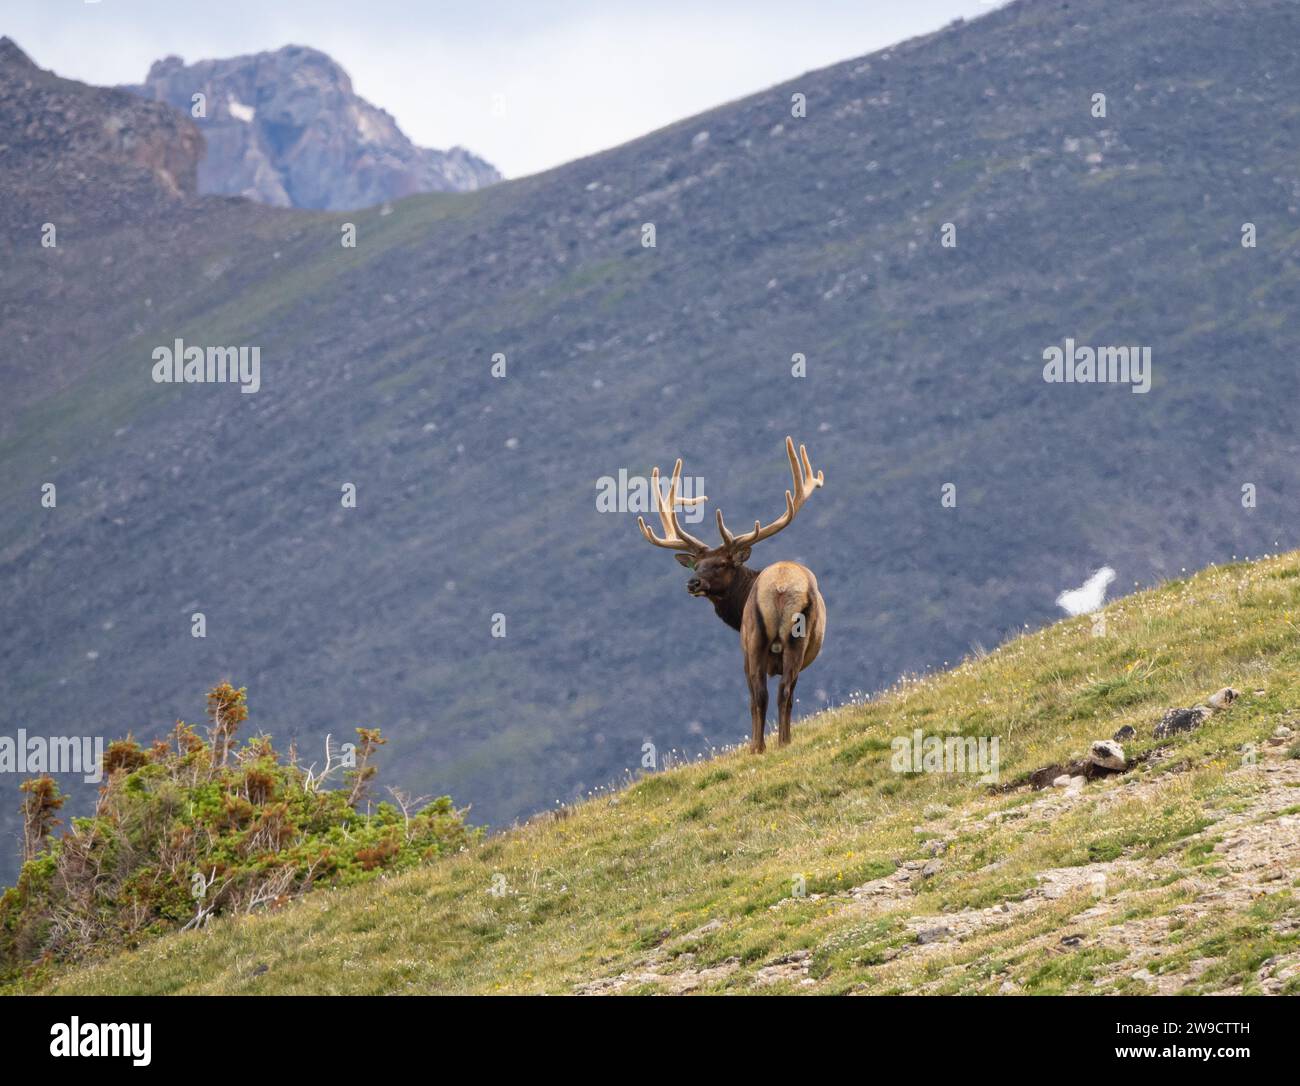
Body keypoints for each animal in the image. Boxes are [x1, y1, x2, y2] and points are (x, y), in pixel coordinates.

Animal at [637, 437, 826, 754]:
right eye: (698, 564)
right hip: (795, 639)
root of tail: (781, 588)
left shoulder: (746, 647)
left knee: (759, 694)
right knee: (784, 690)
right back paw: (782, 741)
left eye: (722, 564)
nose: (693, 583)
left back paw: (757, 747)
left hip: (755, 641)